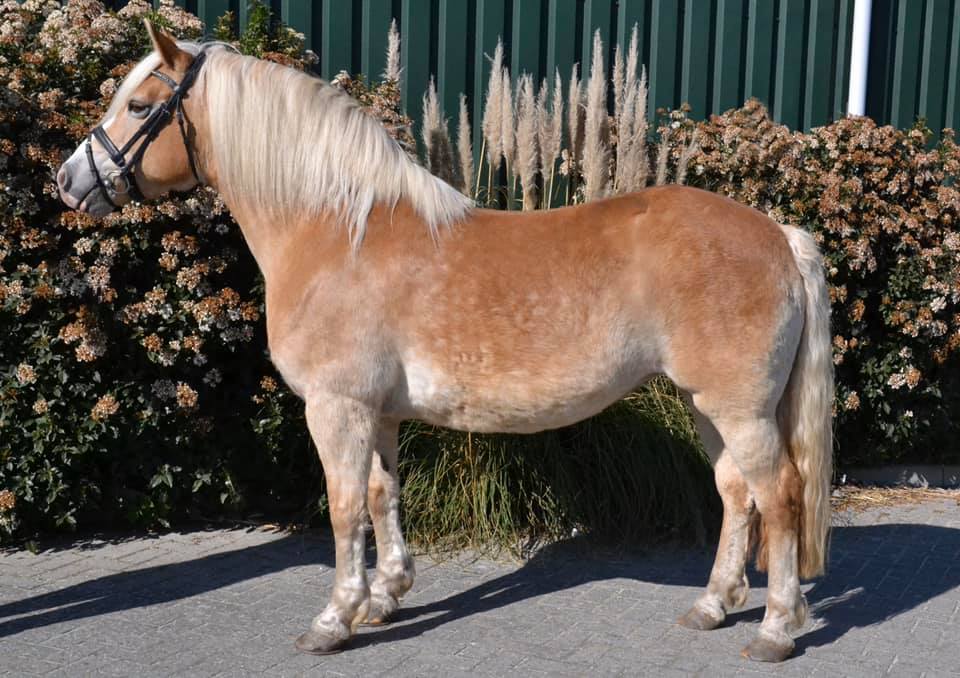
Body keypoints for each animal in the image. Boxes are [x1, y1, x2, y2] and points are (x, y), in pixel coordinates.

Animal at [57, 22, 833, 663]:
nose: (69, 180)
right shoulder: (379, 413)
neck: (337, 230)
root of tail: (777, 234)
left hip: (739, 409)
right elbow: (381, 496)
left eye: (138, 107)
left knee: (780, 495)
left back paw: (775, 629)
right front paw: (384, 596)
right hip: (708, 405)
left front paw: (334, 619)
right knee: (736, 494)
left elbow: (344, 507)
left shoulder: (336, 407)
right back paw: (712, 606)